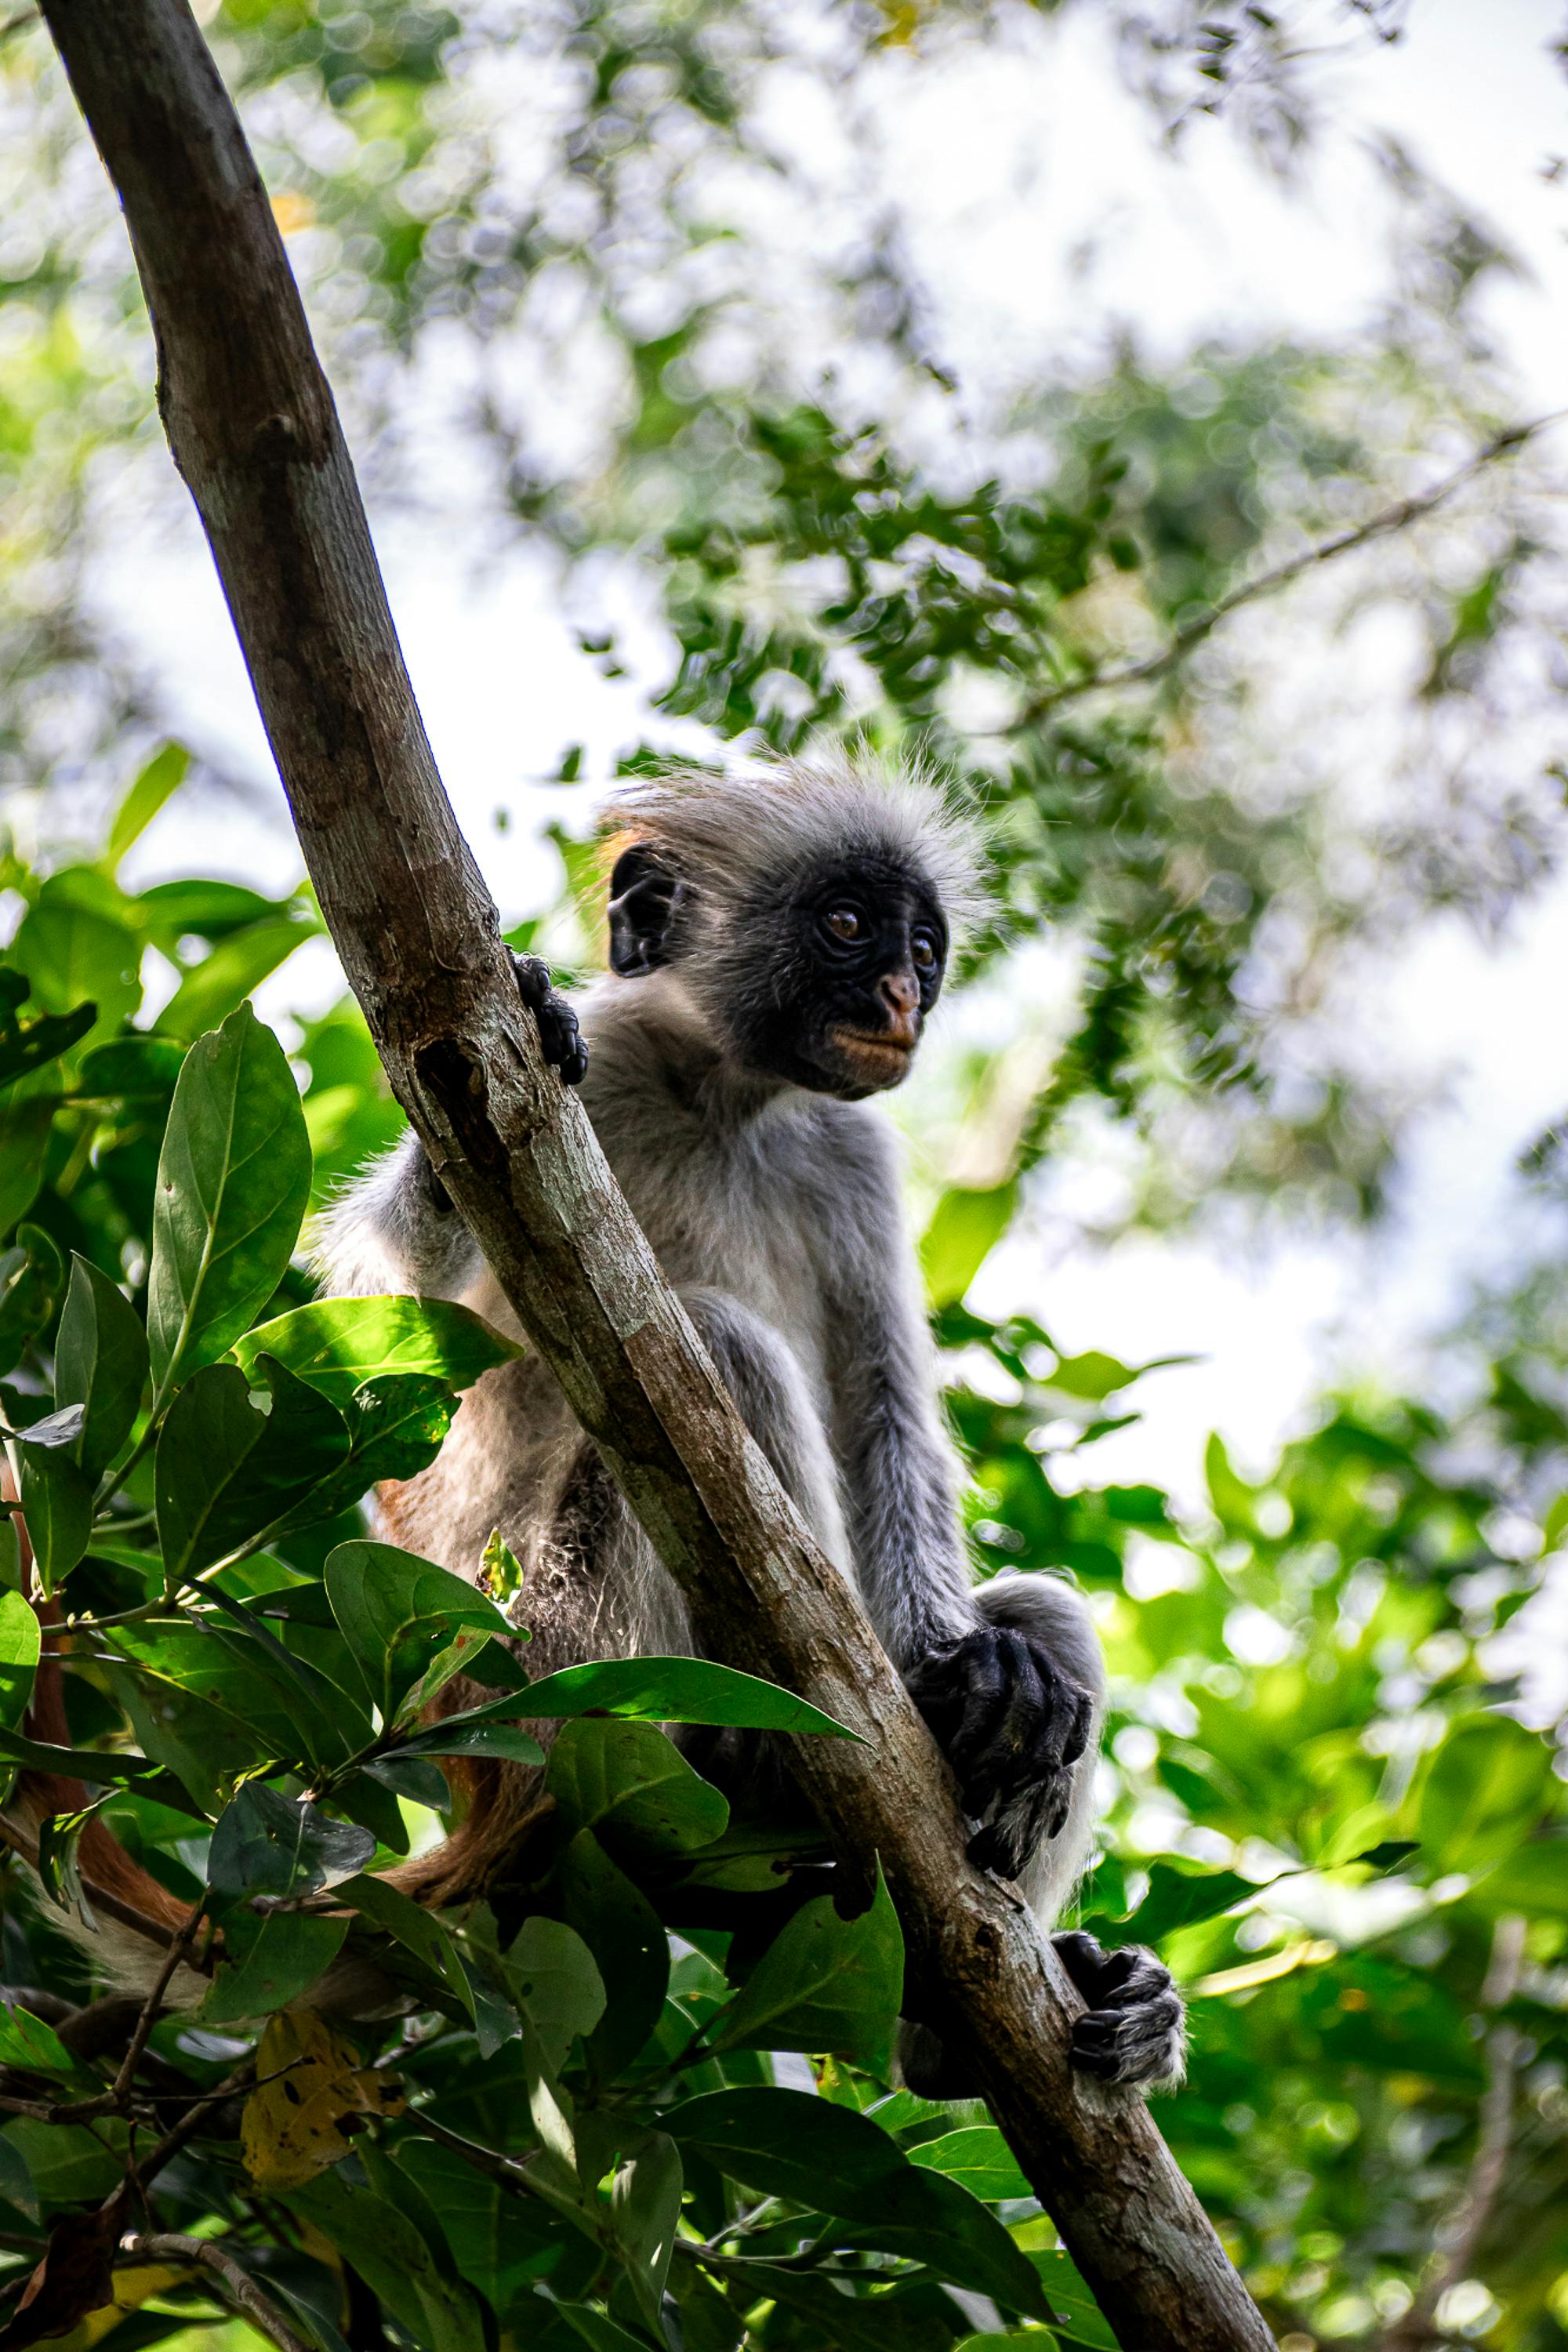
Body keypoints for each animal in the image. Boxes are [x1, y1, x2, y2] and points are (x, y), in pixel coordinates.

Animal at [317, 749, 1185, 2100]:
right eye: (847, 926)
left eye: (922, 947)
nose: (901, 995)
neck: (724, 1096)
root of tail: (468, 1776)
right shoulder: (613, 1065)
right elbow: (375, 1316)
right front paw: (518, 1020)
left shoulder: (852, 1146)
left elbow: (888, 1414)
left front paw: (975, 1677)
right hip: (539, 1653)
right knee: (717, 1347)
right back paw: (775, 1757)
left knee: (1043, 1611)